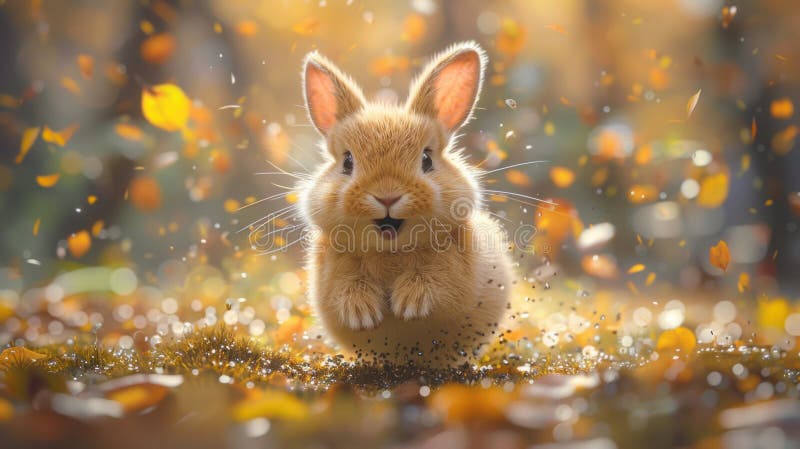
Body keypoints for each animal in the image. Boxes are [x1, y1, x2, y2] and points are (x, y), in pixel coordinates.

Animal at [297, 41, 512, 366]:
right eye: (347, 162)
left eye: (426, 160)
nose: (387, 196)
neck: (391, 251)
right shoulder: (334, 266)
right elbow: (347, 285)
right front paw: (362, 313)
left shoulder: (453, 266)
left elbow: (436, 281)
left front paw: (408, 304)